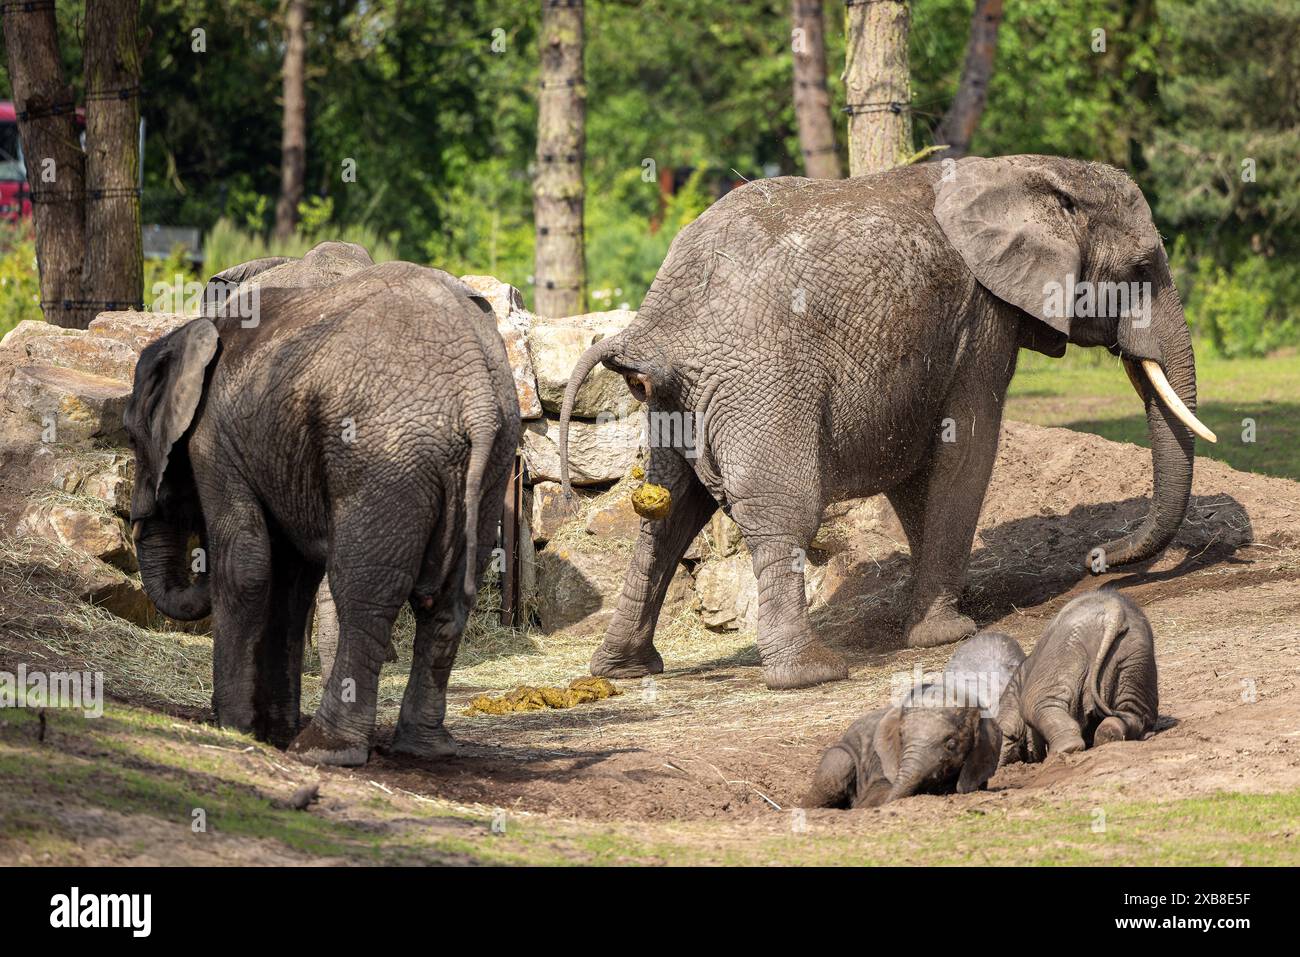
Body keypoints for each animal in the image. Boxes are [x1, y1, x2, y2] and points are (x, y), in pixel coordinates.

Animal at [124, 245, 520, 766]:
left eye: (131, 434)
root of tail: (476, 397)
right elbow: (290, 581)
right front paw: (270, 730)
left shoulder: (215, 439)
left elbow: (247, 566)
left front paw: (232, 726)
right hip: (493, 461)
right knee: (450, 603)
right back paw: (424, 750)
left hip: (384, 456)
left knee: (363, 593)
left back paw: (323, 750)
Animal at [560, 155, 1215, 690]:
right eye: (1141, 268)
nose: (1098, 560)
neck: (1028, 169)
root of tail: (655, 328)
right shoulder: (982, 319)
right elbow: (966, 448)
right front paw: (948, 633)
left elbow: (915, 464)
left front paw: (939, 613)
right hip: (762, 382)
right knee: (782, 507)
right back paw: (811, 672)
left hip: (683, 398)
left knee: (668, 510)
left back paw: (622, 669)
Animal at [998, 589, 1158, 764]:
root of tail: (1114, 613)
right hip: (1135, 656)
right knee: (1131, 711)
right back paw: (1109, 735)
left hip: (1066, 651)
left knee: (1036, 703)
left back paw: (1065, 750)